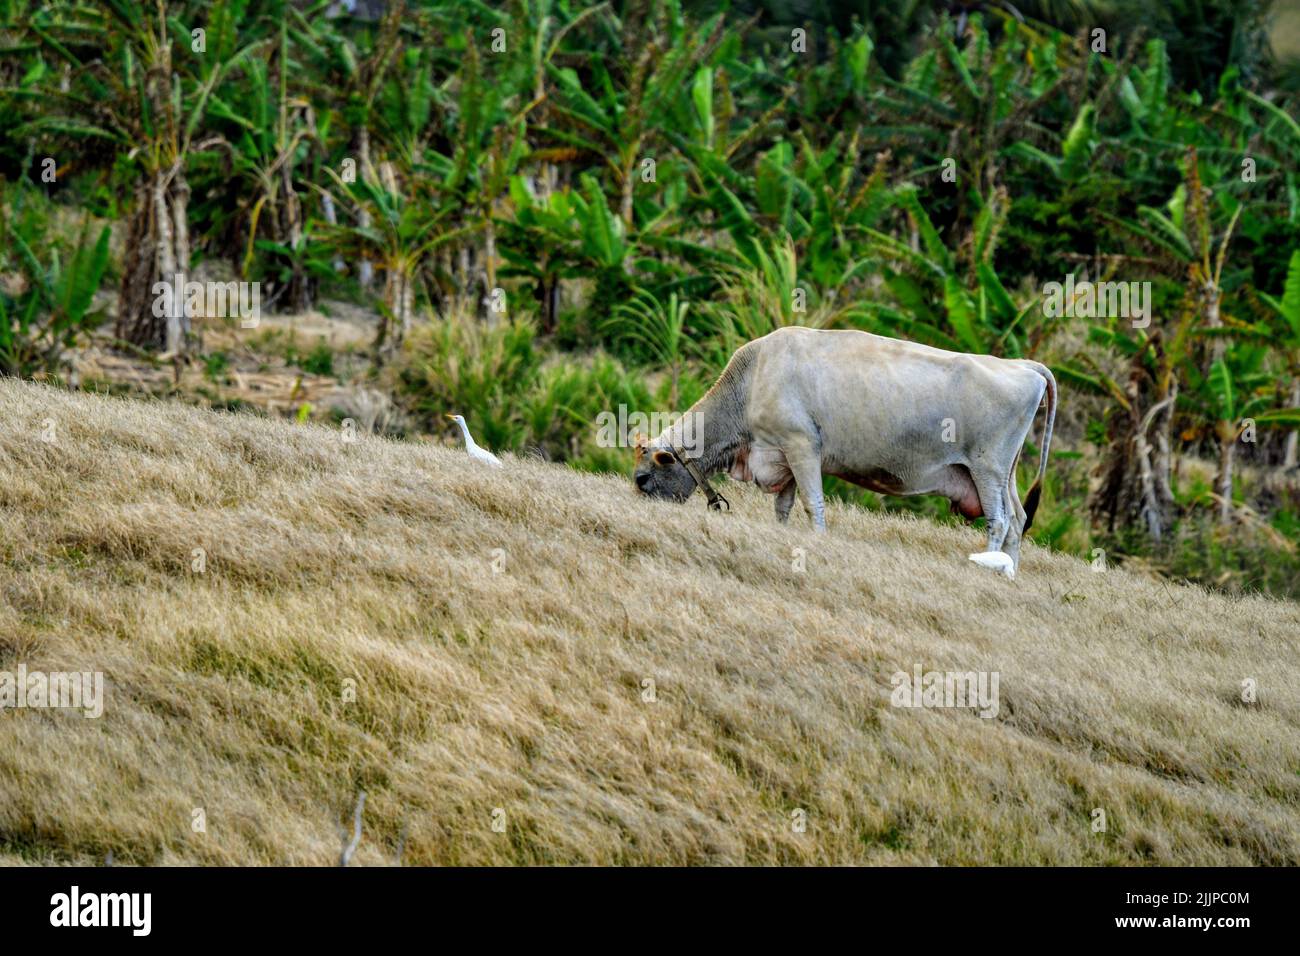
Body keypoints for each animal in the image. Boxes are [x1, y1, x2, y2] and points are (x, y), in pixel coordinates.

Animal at [633, 326, 1057, 572]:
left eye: (642, 479)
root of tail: (1022, 366)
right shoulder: (782, 454)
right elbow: (784, 506)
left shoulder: (801, 443)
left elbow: (813, 503)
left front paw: (817, 542)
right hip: (1003, 474)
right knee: (1018, 519)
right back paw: (1008, 572)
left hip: (987, 467)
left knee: (999, 521)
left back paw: (985, 568)